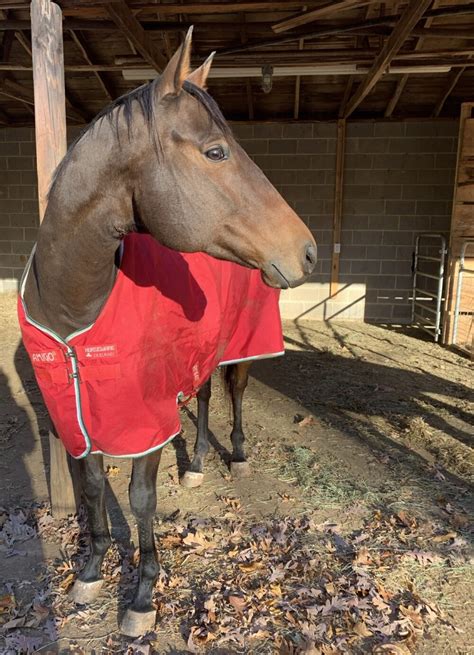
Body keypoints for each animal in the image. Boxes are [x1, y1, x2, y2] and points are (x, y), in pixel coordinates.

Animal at [19, 29, 317, 637]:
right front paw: (90, 572)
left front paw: (141, 597)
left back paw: (236, 455)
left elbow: (139, 497)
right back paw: (197, 464)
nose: (308, 252)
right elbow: (91, 487)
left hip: (241, 346)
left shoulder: (145, 419)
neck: (73, 307)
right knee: (201, 395)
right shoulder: (78, 413)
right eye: (216, 152)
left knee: (234, 390)